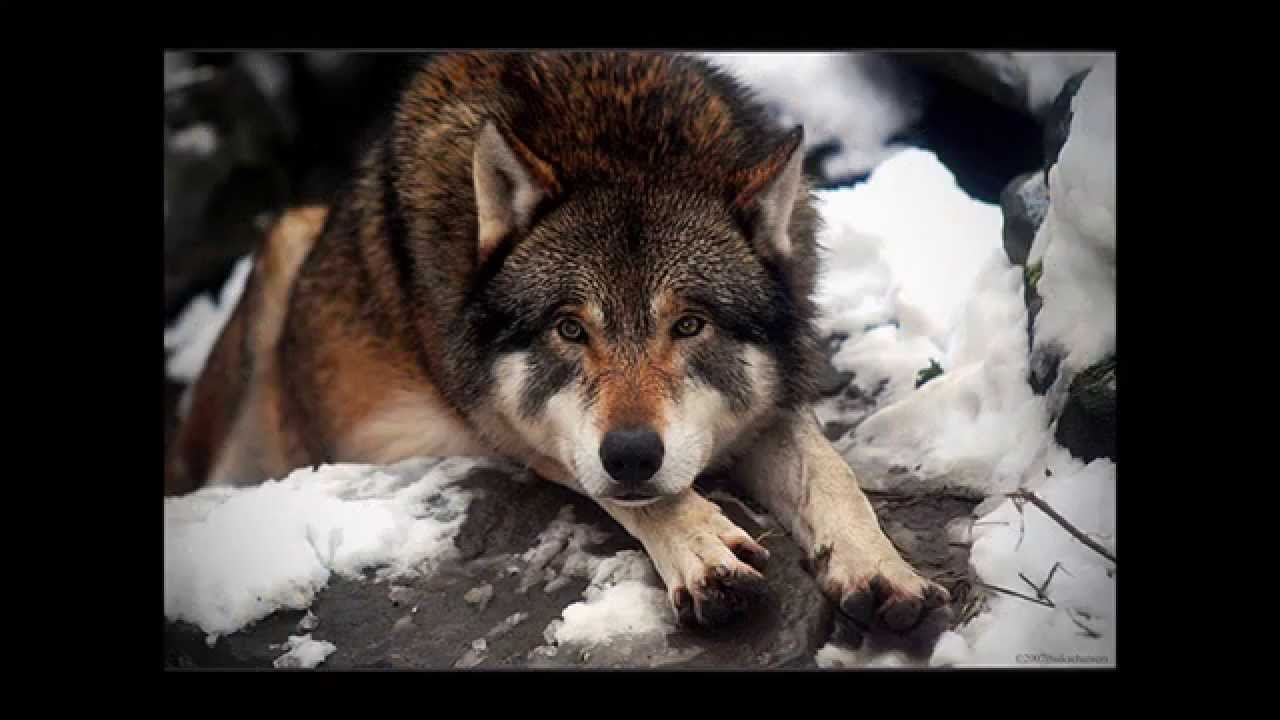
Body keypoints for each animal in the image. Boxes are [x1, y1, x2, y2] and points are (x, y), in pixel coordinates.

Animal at [167, 52, 952, 648]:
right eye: (571, 329)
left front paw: (883, 567)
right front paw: (705, 551)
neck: (614, 138)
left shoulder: (769, 405)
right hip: (281, 251)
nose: (632, 453)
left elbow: (832, 475)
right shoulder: (502, 426)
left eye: (689, 325)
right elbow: (637, 495)